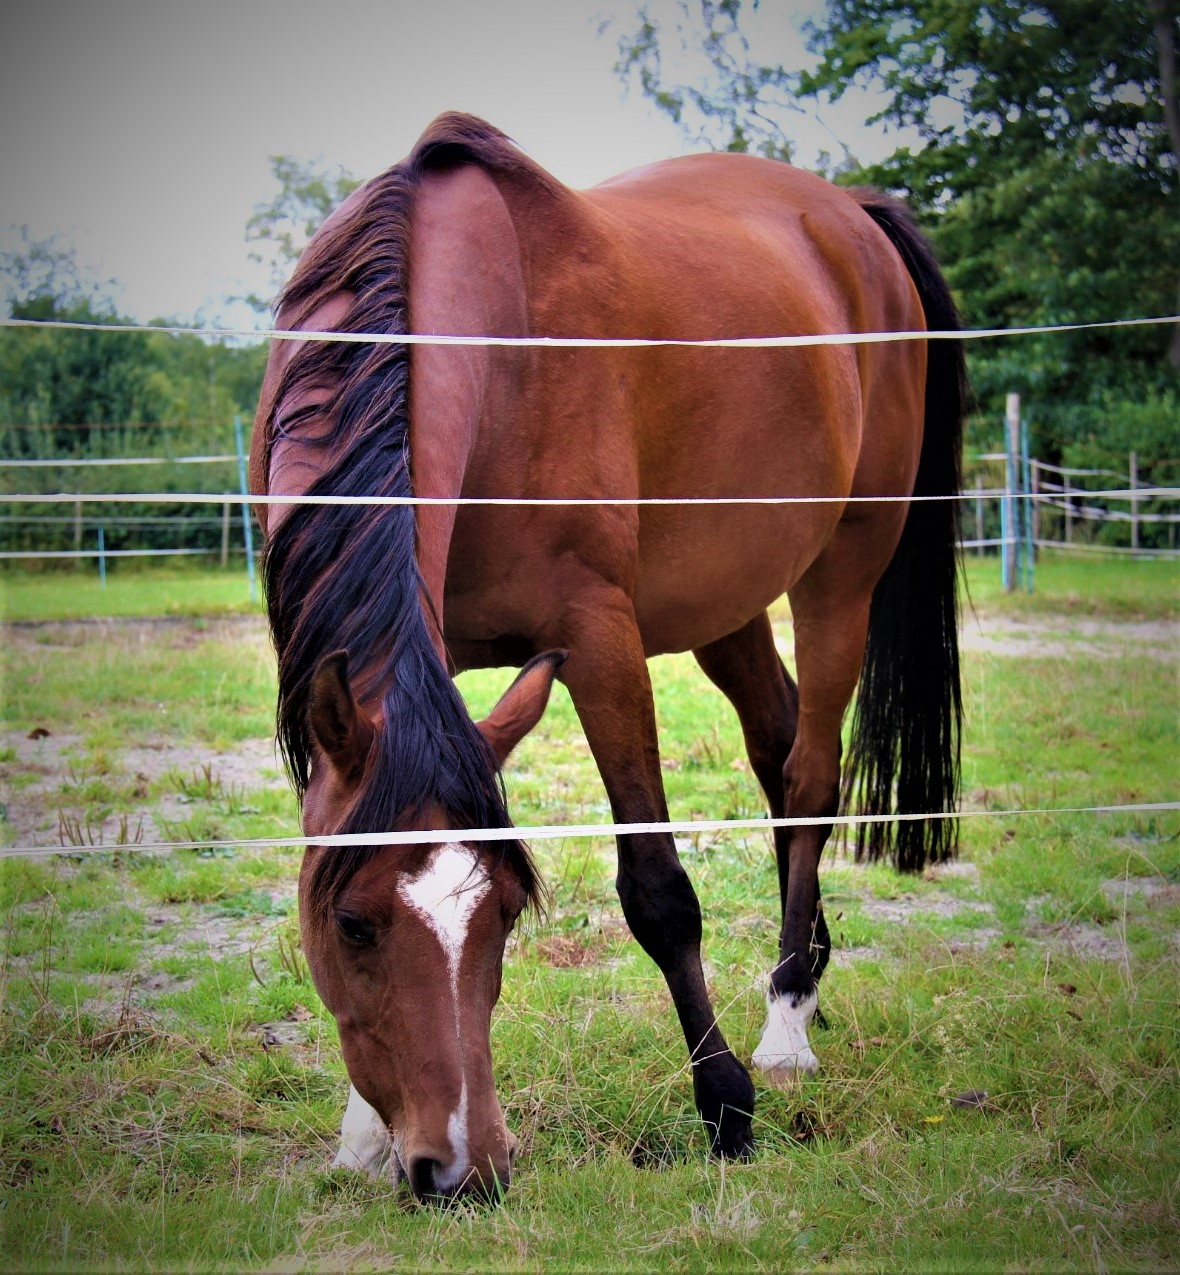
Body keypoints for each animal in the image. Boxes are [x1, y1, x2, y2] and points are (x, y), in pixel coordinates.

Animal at [250, 111, 965, 1203]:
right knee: (778, 749)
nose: (463, 1168)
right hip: (725, 603)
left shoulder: (597, 639)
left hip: (842, 570)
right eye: (353, 926)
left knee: (809, 772)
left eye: (506, 915)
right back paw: (806, 977)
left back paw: (786, 1024)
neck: (491, 345)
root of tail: (851, 212)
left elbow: (658, 893)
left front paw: (724, 1106)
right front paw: (365, 1136)